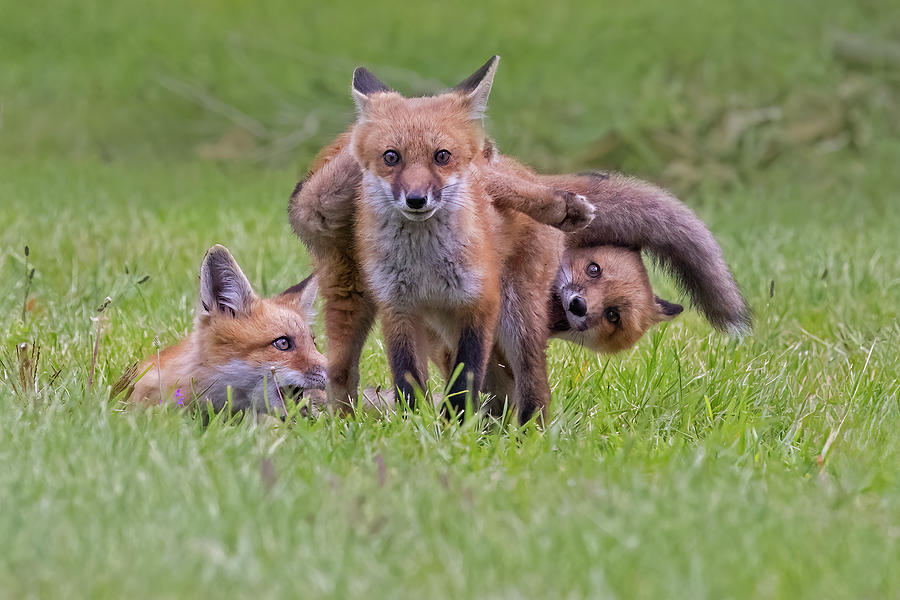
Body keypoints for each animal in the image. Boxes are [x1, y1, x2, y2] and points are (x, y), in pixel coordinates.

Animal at [289, 56, 750, 422]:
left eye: (613, 316)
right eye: (392, 157)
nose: (417, 199)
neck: (425, 262)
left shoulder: (478, 304)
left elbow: (467, 382)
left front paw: (458, 432)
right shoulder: (398, 307)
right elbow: (409, 381)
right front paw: (417, 429)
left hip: (512, 313)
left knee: (530, 386)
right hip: (354, 297)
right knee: (343, 370)